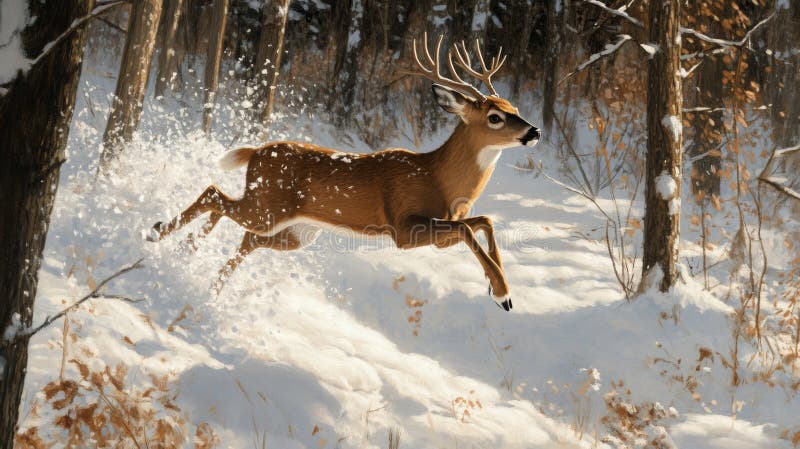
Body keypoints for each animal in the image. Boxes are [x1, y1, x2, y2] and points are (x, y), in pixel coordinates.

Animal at [147, 33, 540, 311]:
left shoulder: (440, 229)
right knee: (215, 194)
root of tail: (256, 152)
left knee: (244, 234)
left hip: (295, 231)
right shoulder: (403, 228)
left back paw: (196, 267)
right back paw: (159, 234)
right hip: (268, 206)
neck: (437, 178)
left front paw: (499, 290)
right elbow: (469, 229)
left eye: (514, 107)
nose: (534, 131)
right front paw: (502, 293)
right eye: (495, 117)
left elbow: (483, 222)